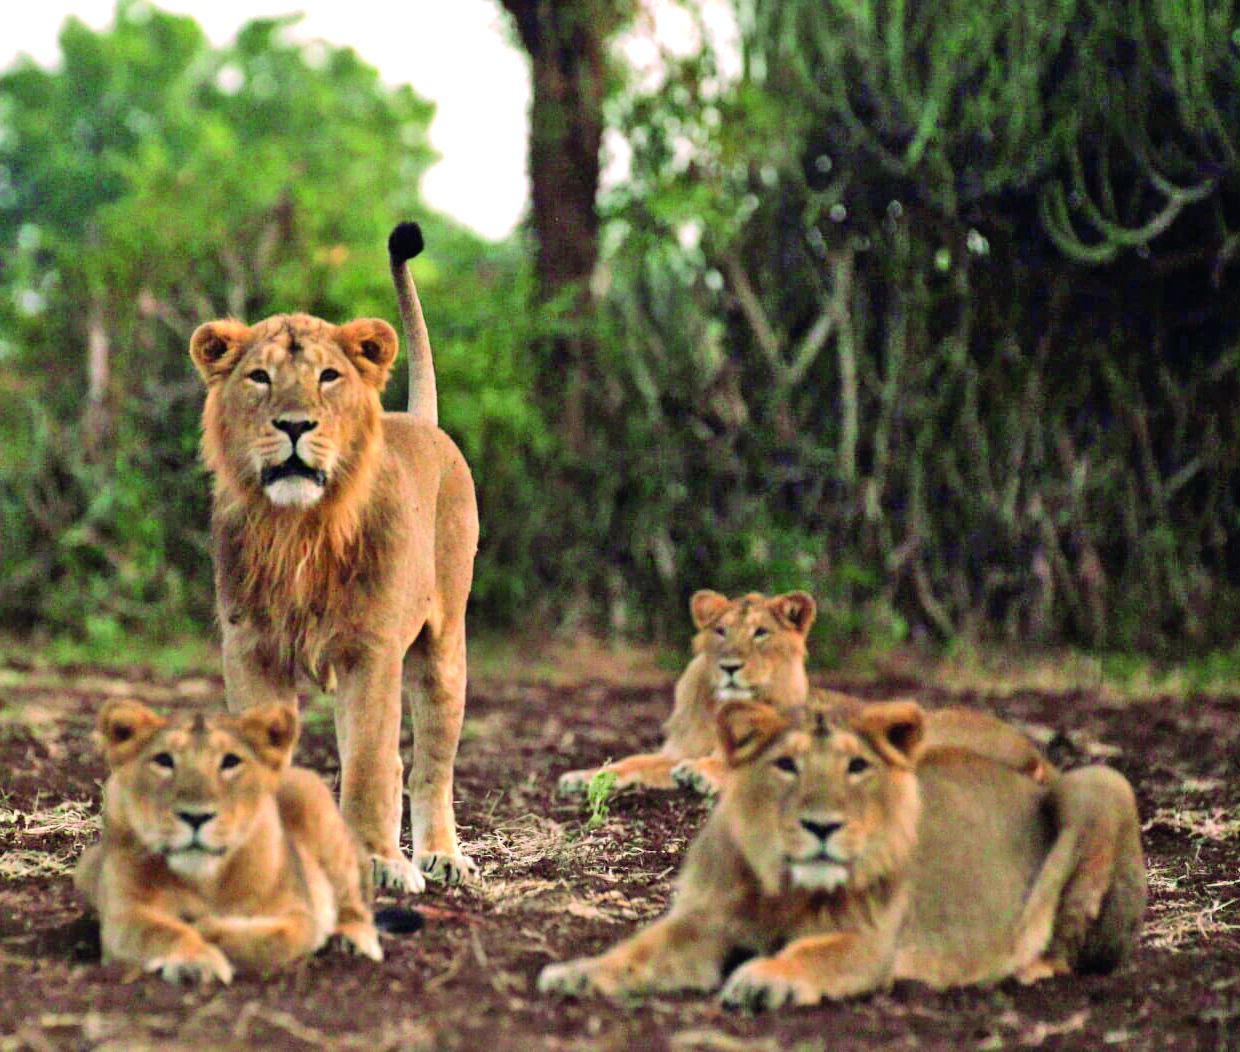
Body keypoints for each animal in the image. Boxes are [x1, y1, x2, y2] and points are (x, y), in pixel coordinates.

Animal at [75, 699, 385, 984]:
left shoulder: (298, 914)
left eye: (231, 761)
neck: (204, 879)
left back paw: (352, 939)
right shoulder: (123, 914)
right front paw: (195, 960)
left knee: (354, 902)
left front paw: (207, 929)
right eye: (164, 760)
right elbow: (161, 932)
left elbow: (273, 939)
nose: (196, 816)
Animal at [188, 222, 478, 892]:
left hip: (443, 649)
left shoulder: (371, 650)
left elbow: (370, 763)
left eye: (327, 376)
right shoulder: (250, 649)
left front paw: (378, 862)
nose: (295, 425)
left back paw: (440, 857)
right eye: (259, 377)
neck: (298, 530)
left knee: (428, 763)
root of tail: (422, 421)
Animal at [538, 696, 1145, 1009]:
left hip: (1100, 783)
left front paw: (764, 977)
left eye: (857, 768)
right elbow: (639, 949)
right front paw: (579, 973)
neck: (782, 886)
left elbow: (812, 953)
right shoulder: (703, 920)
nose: (822, 825)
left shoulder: (870, 943)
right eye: (786, 765)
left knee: (1069, 941)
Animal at [556, 590, 817, 798]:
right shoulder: (682, 750)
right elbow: (635, 762)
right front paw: (583, 778)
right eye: (721, 631)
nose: (729, 666)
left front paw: (698, 772)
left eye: (761, 632)